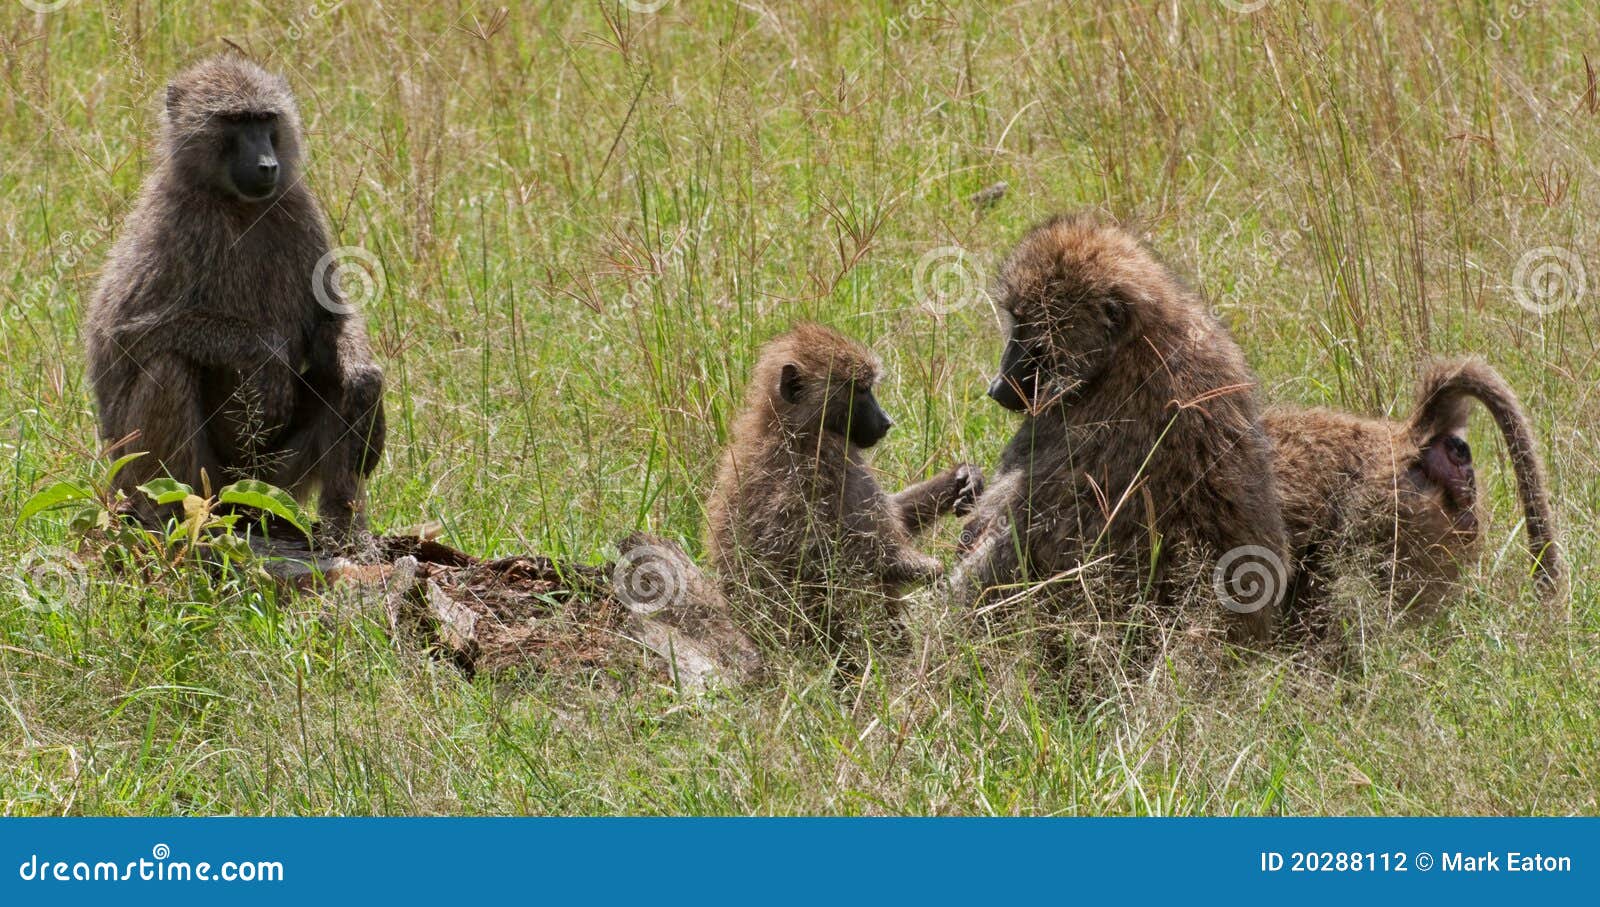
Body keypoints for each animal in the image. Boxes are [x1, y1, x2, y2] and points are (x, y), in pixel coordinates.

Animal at [83, 55, 385, 543]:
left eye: (265, 120)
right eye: (235, 121)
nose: (266, 165)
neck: (238, 203)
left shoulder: (298, 209)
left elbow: (330, 324)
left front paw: (368, 382)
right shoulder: (173, 222)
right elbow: (122, 332)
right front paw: (267, 354)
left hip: (271, 482)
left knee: (335, 384)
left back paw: (344, 531)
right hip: (164, 475)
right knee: (169, 365)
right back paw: (171, 518)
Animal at [705, 322, 984, 654]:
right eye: (860, 390)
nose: (887, 421)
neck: (792, 426)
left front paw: (962, 478)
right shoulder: (824, 464)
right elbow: (833, 556)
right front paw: (935, 571)